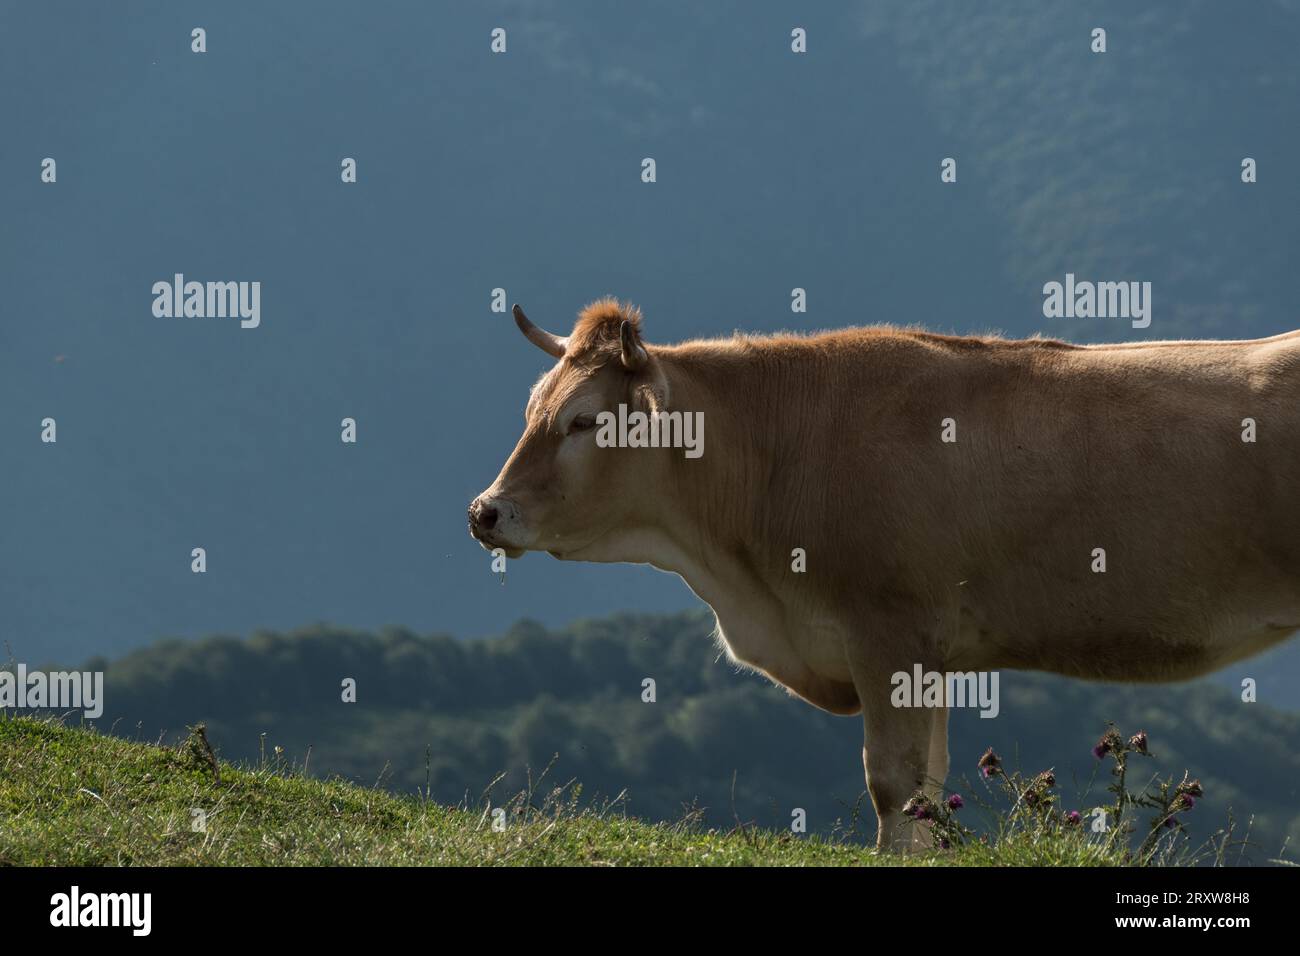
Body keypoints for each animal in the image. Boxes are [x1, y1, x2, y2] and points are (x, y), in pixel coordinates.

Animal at [468, 297, 1300, 850]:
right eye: (533, 408)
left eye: (584, 421)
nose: (485, 511)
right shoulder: (932, 655)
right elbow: (930, 787)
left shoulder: (889, 633)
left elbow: (894, 785)